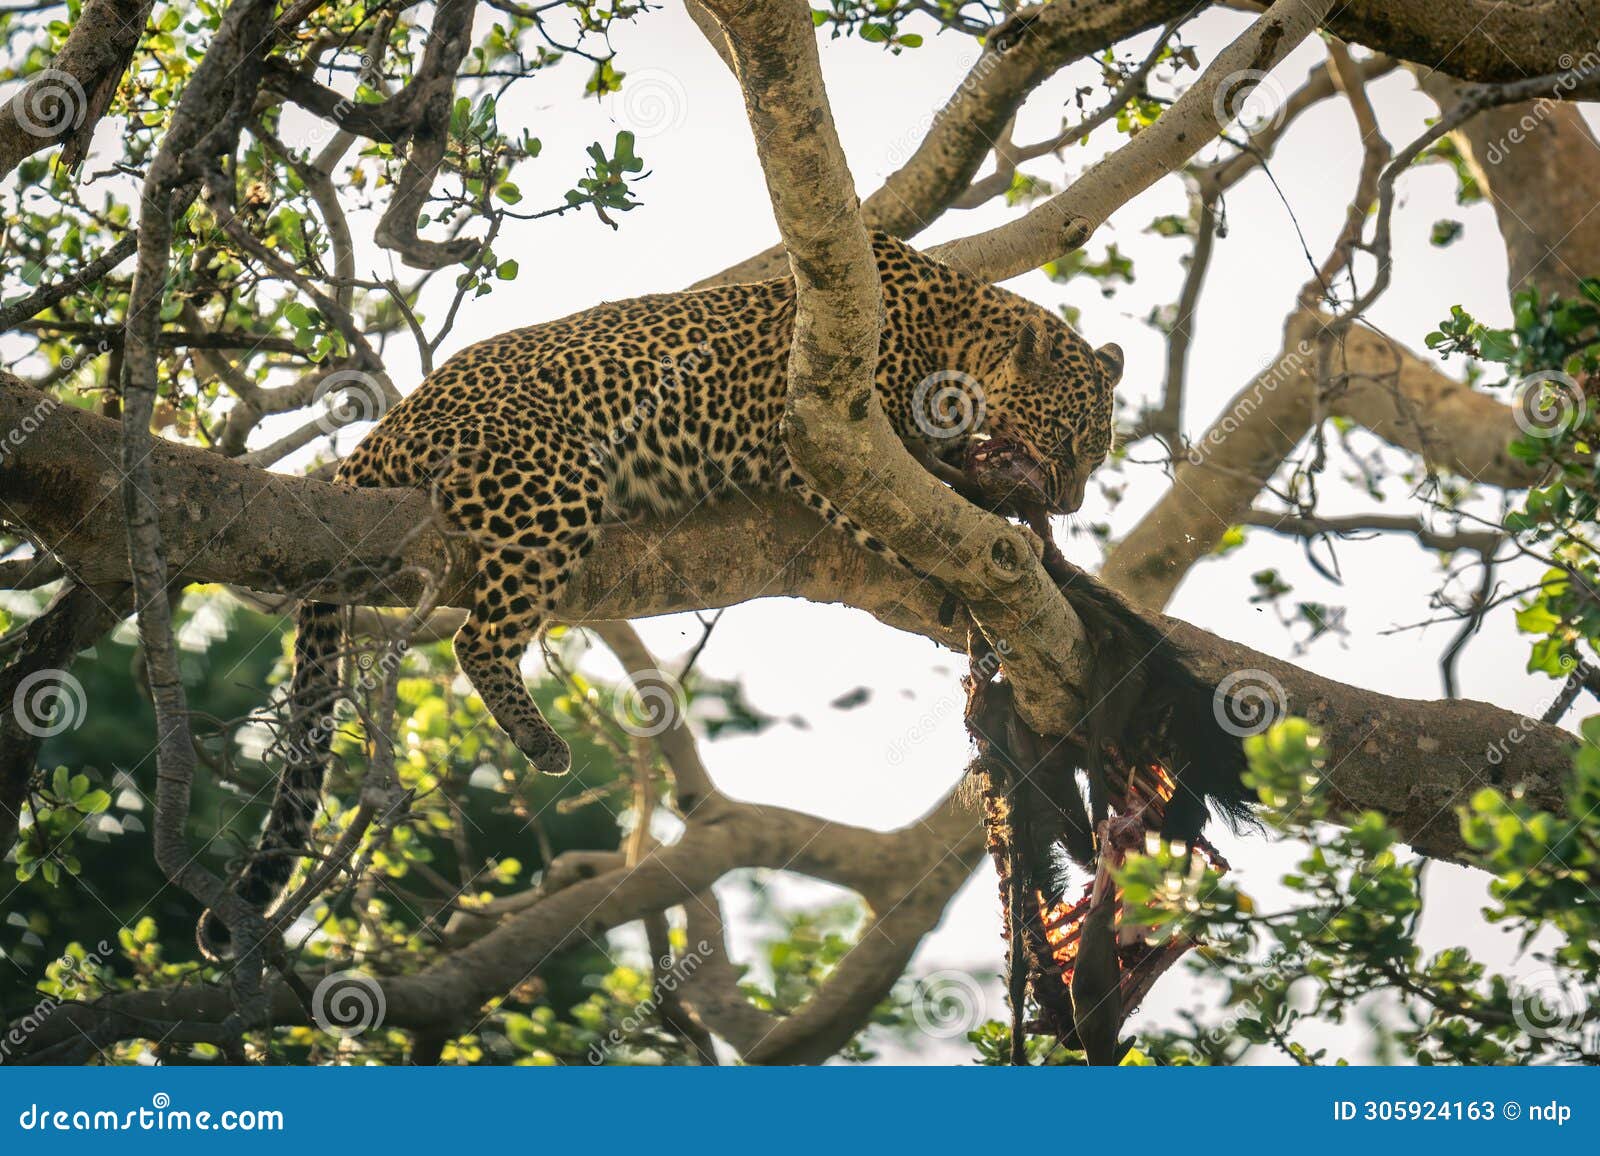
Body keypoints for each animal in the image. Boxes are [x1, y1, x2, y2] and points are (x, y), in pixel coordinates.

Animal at [196, 232, 1125, 958]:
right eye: (1076, 434)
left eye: (1098, 448)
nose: (1074, 498)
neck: (957, 336)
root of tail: (387, 427)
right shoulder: (827, 450)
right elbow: (928, 503)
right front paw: (1006, 536)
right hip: (551, 481)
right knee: (478, 636)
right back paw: (540, 741)